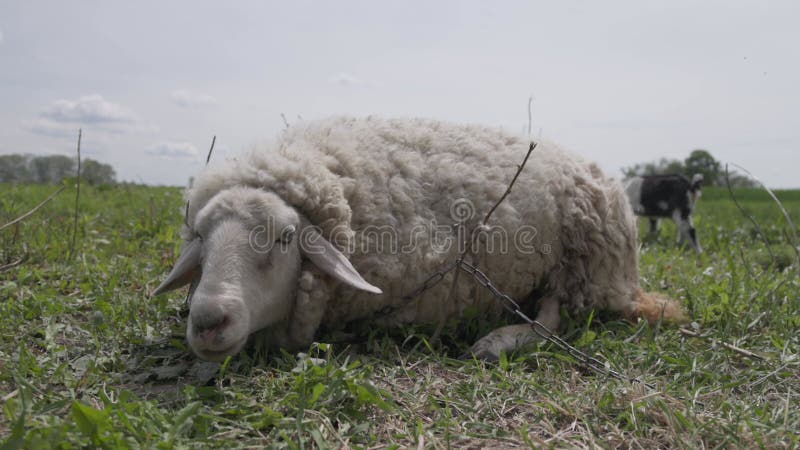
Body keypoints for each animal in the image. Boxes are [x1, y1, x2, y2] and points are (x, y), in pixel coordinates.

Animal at [153, 116, 686, 361]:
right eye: (200, 238)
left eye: (285, 238)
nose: (209, 321)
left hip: (582, 263)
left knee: (557, 316)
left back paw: (495, 342)